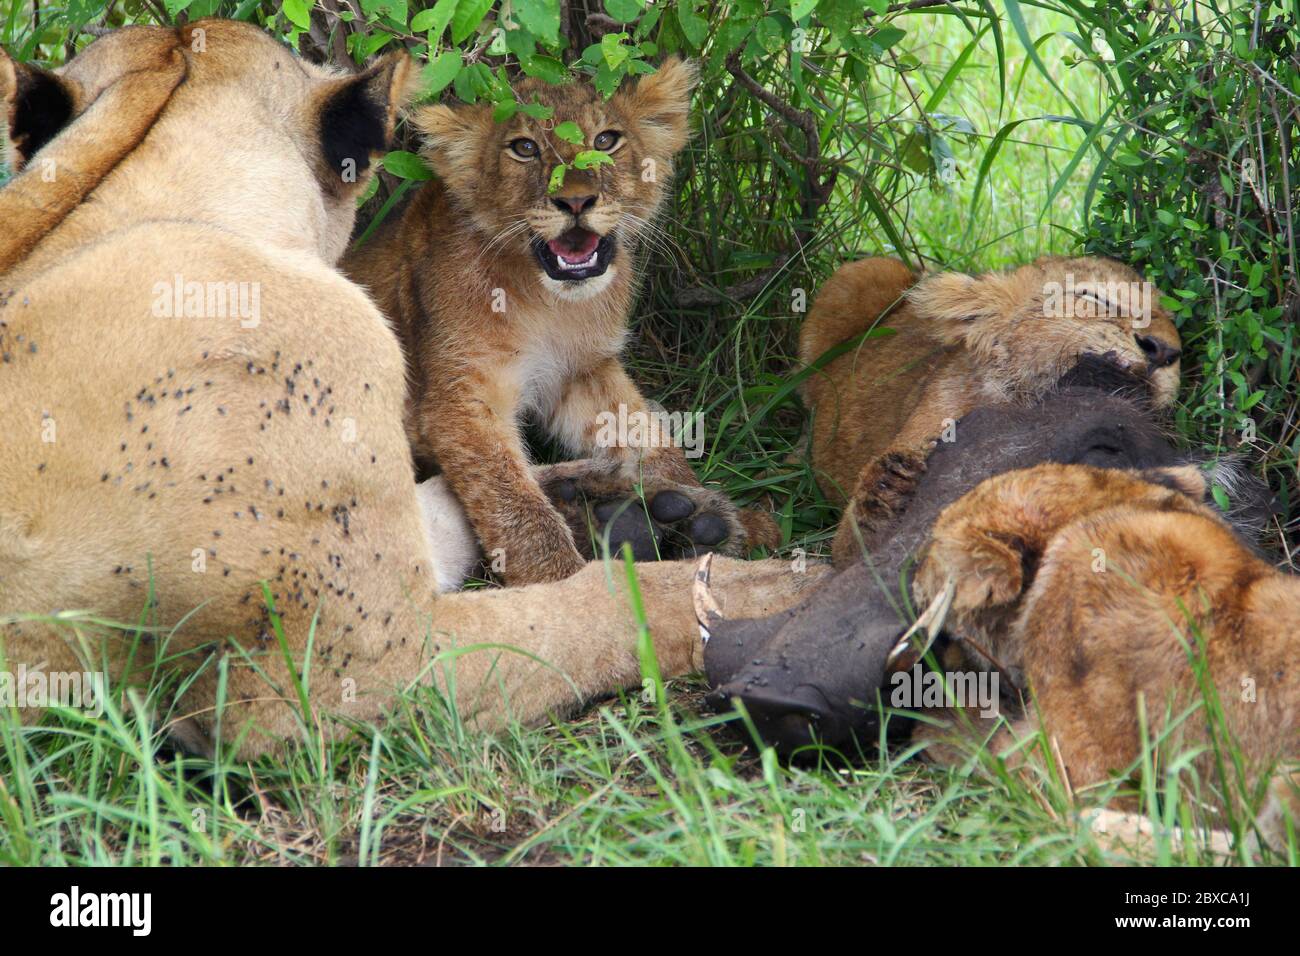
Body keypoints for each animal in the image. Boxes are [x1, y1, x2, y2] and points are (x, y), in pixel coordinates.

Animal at [342, 60, 778, 586]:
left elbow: (650, 439)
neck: (551, 306)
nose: (575, 202)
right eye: (524, 148)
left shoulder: (582, 372)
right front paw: (562, 581)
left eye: (607, 140)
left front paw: (719, 509)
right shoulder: (459, 399)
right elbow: (514, 504)